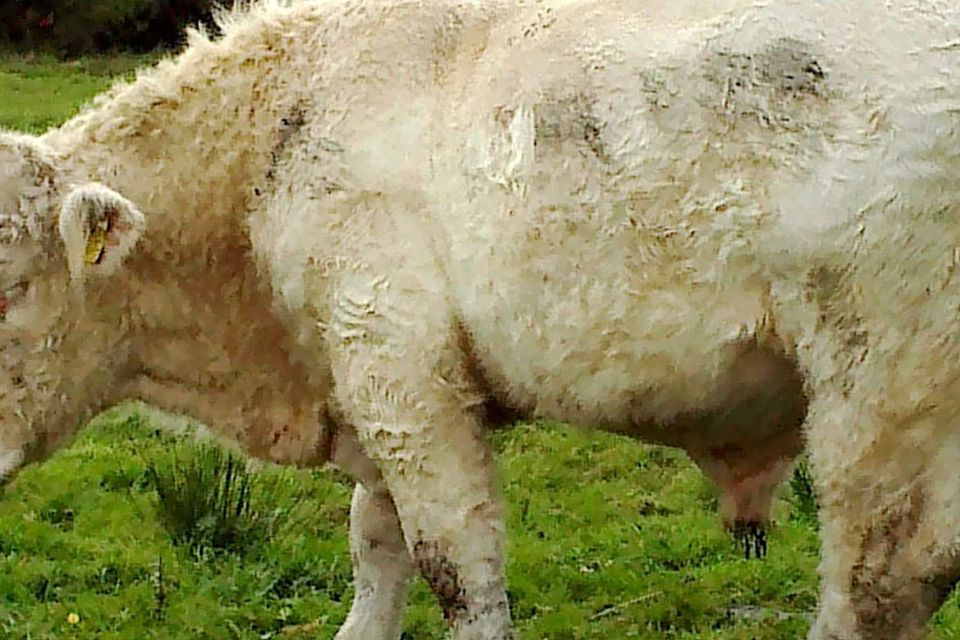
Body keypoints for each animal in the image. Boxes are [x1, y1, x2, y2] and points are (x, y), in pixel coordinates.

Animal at [2, 0, 959, 638]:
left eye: (10, 288)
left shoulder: (398, 367)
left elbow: (453, 565)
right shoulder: (370, 390)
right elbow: (376, 545)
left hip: (881, 395)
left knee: (876, 585)